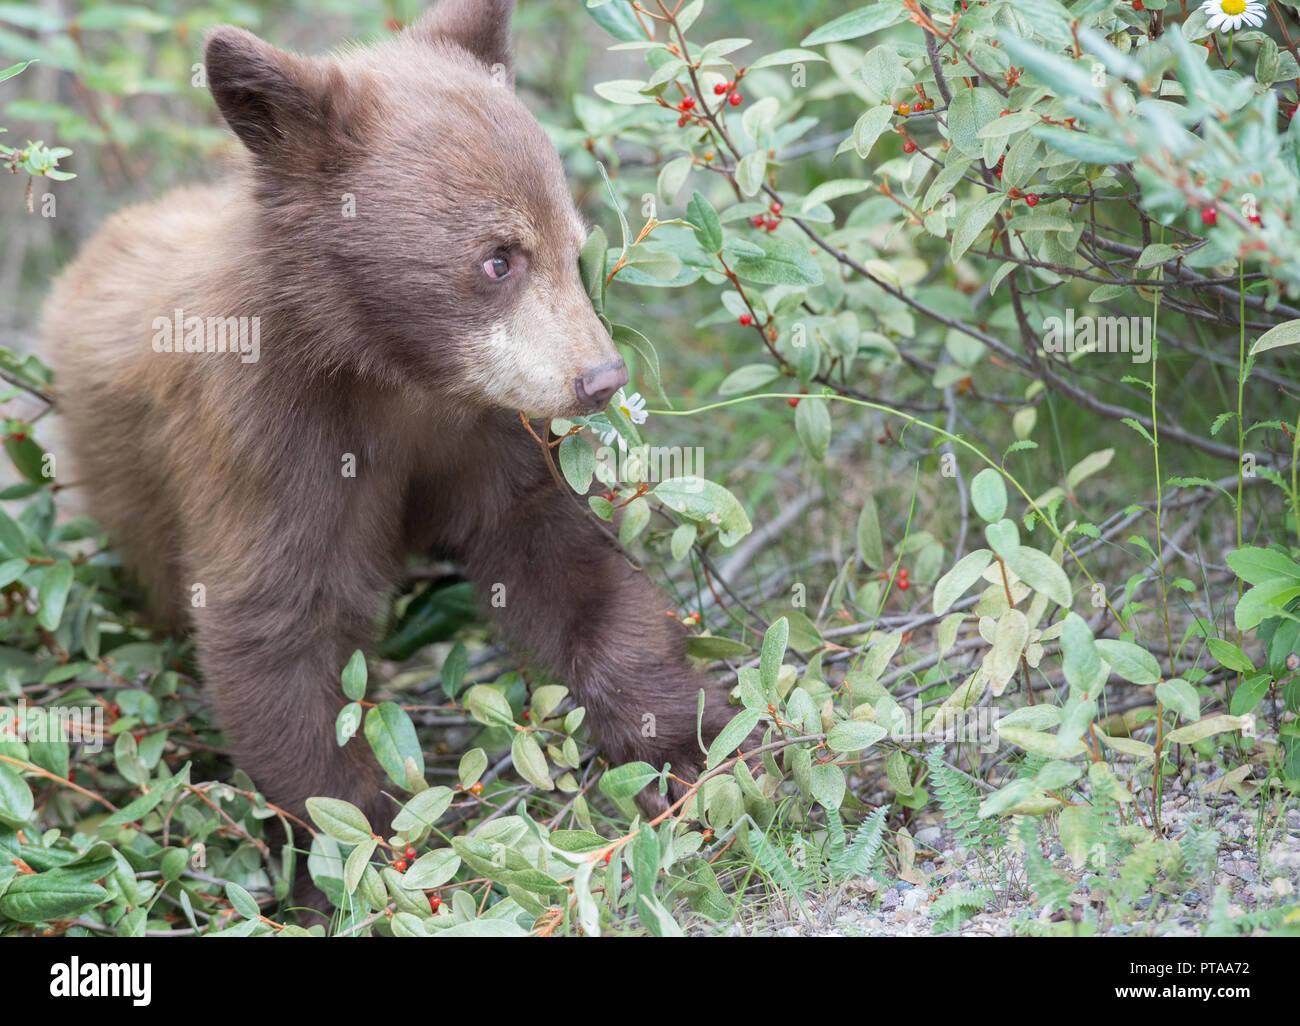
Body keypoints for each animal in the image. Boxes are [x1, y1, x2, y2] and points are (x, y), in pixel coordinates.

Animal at [42, 0, 740, 905]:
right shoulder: (267, 436)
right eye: (497, 257)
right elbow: (275, 626)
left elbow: (563, 556)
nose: (600, 378)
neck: (392, 375)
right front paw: (359, 864)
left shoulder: (490, 428)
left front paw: (689, 746)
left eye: (574, 246)